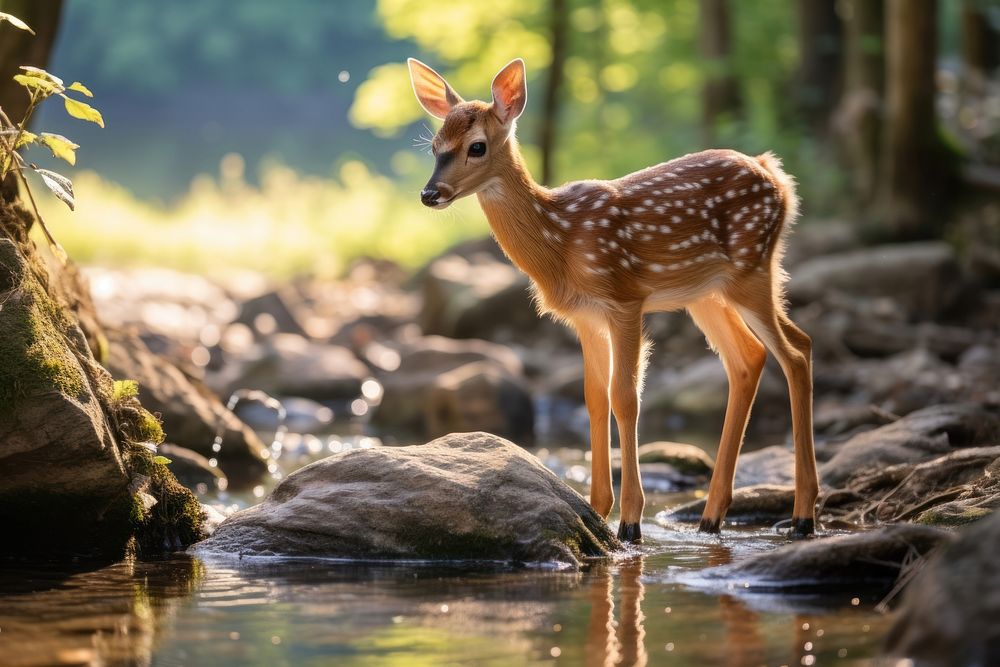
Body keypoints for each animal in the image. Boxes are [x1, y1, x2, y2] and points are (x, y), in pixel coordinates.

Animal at [407, 57, 818, 544]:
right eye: (435, 146)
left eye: (476, 146)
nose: (429, 194)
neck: (561, 242)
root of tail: (775, 174)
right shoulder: (584, 317)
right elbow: (594, 397)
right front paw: (598, 509)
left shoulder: (624, 298)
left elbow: (625, 396)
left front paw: (631, 522)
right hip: (707, 292)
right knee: (752, 356)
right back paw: (712, 516)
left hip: (751, 269)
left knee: (795, 351)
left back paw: (803, 516)